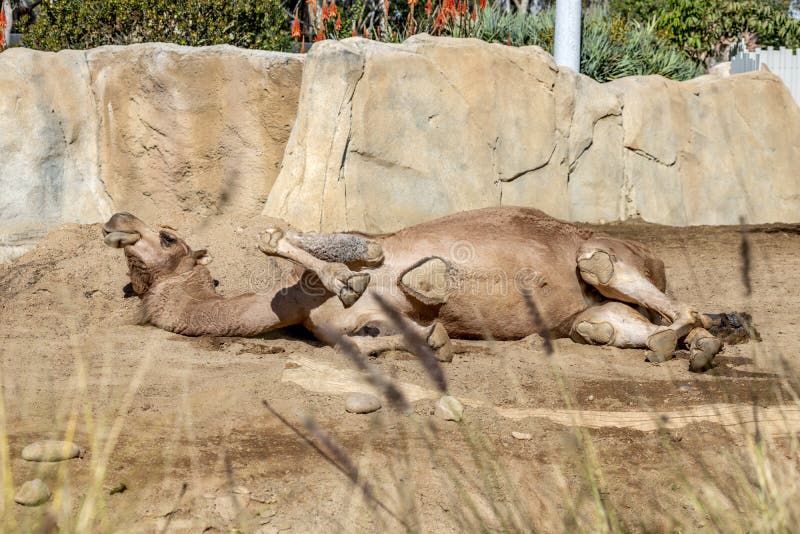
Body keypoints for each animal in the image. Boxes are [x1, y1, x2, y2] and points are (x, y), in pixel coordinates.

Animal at [103, 207, 746, 372]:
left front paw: (354, 273)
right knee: (611, 323)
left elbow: (290, 238)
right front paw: (433, 337)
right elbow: (373, 337)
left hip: (602, 256)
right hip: (589, 317)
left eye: (167, 235)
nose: (116, 221)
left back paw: (702, 338)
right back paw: (693, 346)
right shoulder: (339, 328)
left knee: (607, 267)